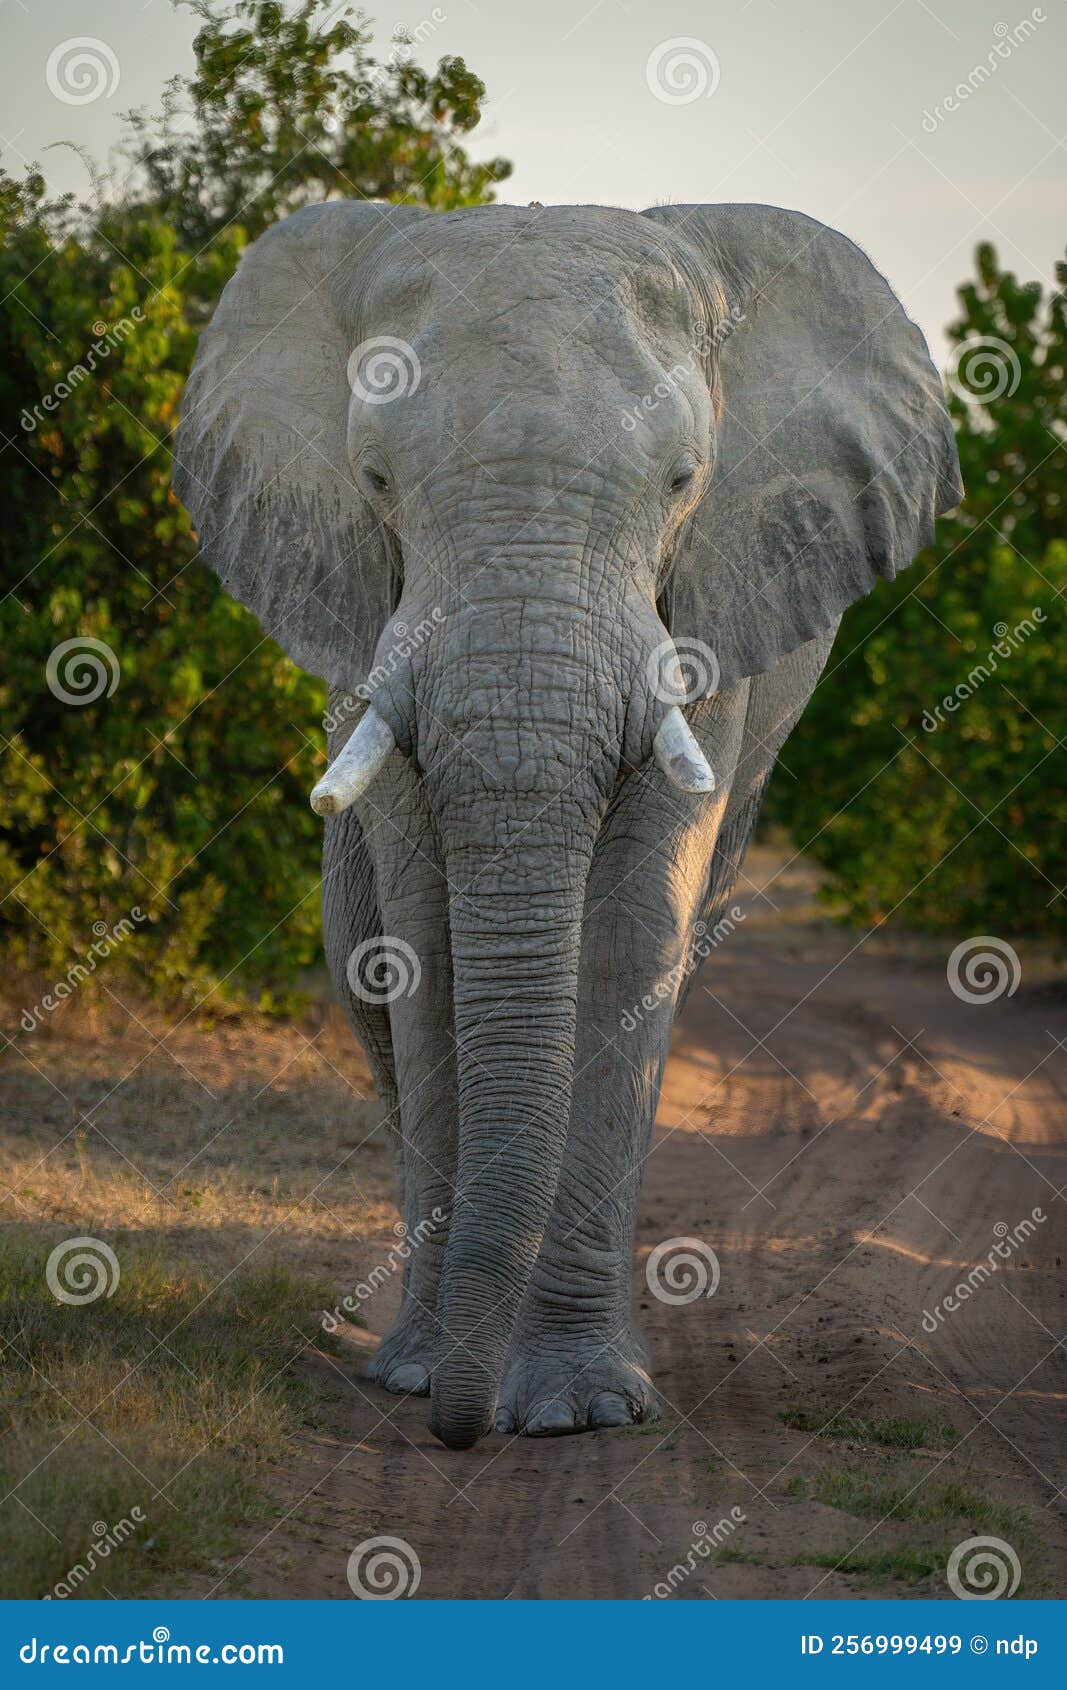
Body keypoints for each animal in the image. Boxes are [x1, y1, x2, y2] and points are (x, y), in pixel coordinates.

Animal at [173, 200, 961, 1451]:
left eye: (683, 480)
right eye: (374, 479)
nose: (459, 1432)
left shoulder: (708, 610)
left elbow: (635, 928)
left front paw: (576, 1410)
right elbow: (421, 941)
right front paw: (426, 1377)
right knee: (363, 976)